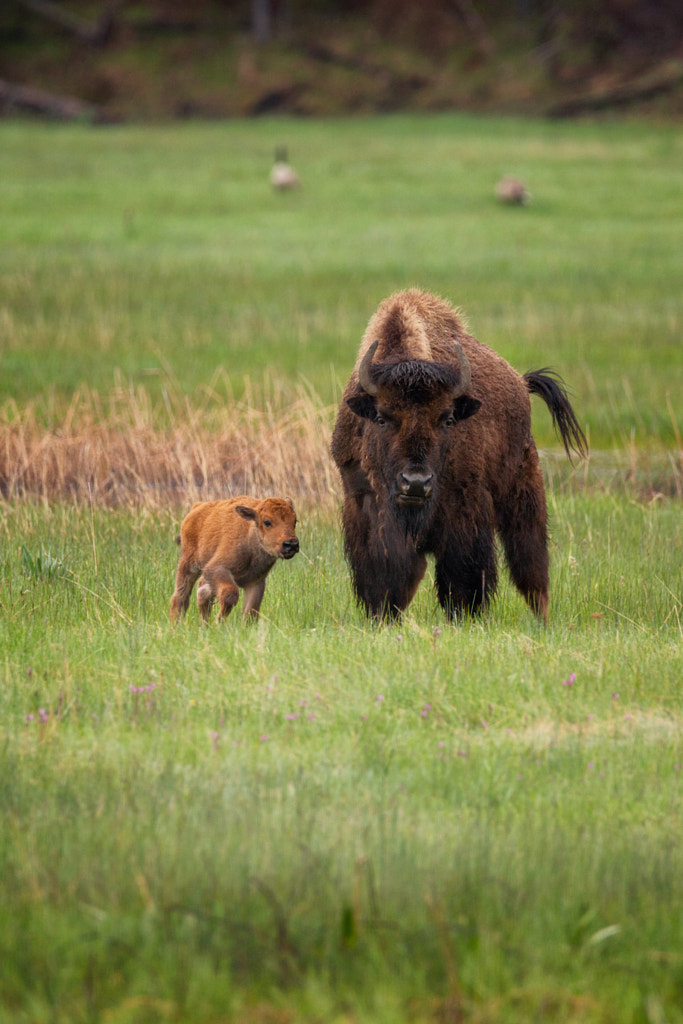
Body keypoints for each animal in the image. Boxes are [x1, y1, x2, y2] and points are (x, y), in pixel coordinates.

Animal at [330, 289, 587, 621]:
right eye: (382, 418)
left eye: (448, 419)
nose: (416, 483)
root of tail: (520, 382)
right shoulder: (363, 506)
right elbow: (386, 575)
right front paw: (382, 617)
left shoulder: (465, 510)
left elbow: (463, 575)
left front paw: (464, 616)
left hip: (524, 493)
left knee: (531, 566)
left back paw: (542, 620)